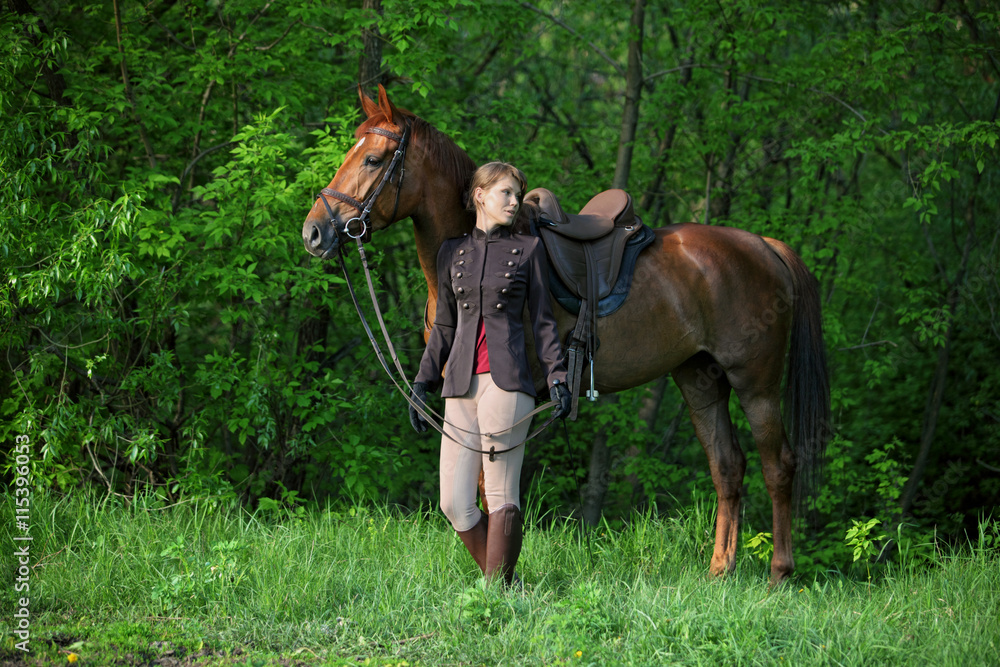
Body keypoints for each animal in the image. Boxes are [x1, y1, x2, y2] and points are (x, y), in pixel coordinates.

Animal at [302, 84, 830, 584]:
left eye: (372, 159)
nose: (314, 232)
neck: (480, 245)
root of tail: (765, 247)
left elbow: (493, 492)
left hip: (755, 383)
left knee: (778, 466)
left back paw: (779, 573)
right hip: (699, 380)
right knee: (727, 466)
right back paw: (721, 570)